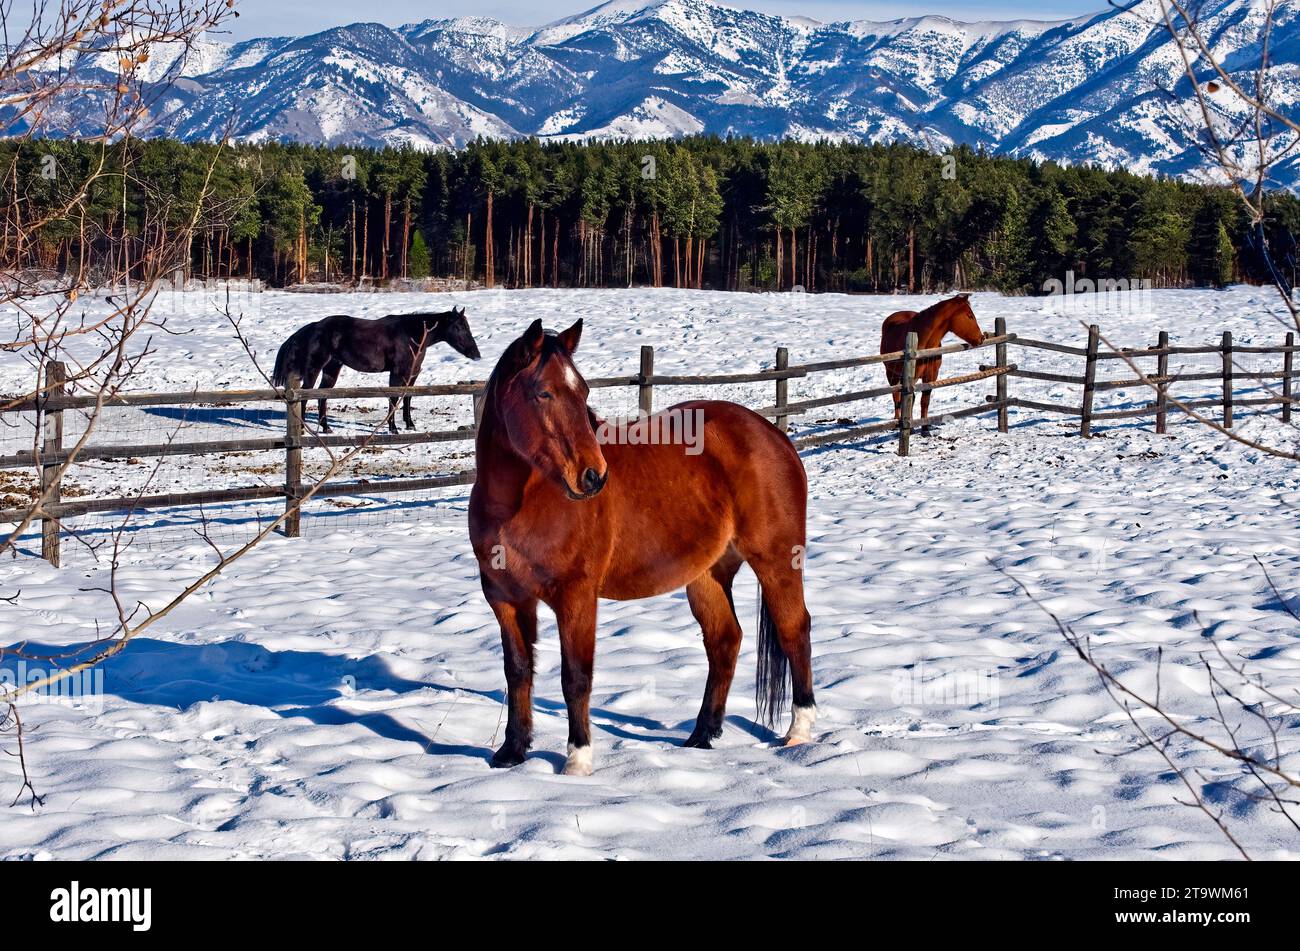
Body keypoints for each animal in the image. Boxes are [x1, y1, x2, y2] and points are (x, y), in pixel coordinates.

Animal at [271, 308, 481, 433]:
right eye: (458, 327)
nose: (477, 355)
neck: (411, 335)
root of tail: (314, 327)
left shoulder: (412, 374)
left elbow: (407, 398)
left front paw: (410, 424)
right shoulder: (397, 373)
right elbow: (394, 398)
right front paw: (393, 428)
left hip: (332, 369)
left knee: (323, 396)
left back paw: (326, 428)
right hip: (314, 368)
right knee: (305, 395)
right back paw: (303, 429)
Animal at [469, 318, 815, 776]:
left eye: (583, 392)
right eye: (543, 392)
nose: (594, 476)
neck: (523, 501)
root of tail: (773, 434)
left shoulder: (576, 597)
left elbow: (575, 677)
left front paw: (577, 761)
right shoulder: (505, 599)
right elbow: (518, 671)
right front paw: (512, 751)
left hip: (776, 560)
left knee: (795, 630)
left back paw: (799, 733)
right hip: (706, 575)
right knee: (725, 640)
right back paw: (701, 736)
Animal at [881, 293, 987, 431]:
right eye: (969, 316)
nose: (981, 338)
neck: (924, 346)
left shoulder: (931, 375)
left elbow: (924, 401)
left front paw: (925, 428)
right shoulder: (909, 377)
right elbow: (906, 399)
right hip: (891, 374)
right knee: (896, 396)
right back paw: (897, 419)